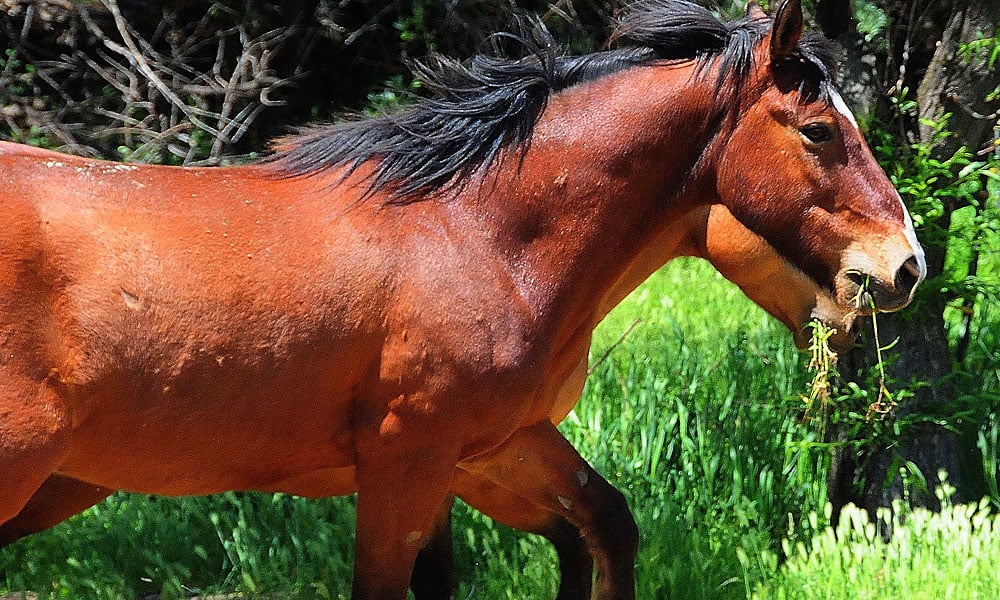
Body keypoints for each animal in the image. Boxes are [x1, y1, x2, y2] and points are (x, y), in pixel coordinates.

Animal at [0, 0, 925, 598]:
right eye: (819, 131)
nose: (906, 267)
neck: (474, 230)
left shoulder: (490, 449)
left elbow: (602, 527)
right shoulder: (406, 463)